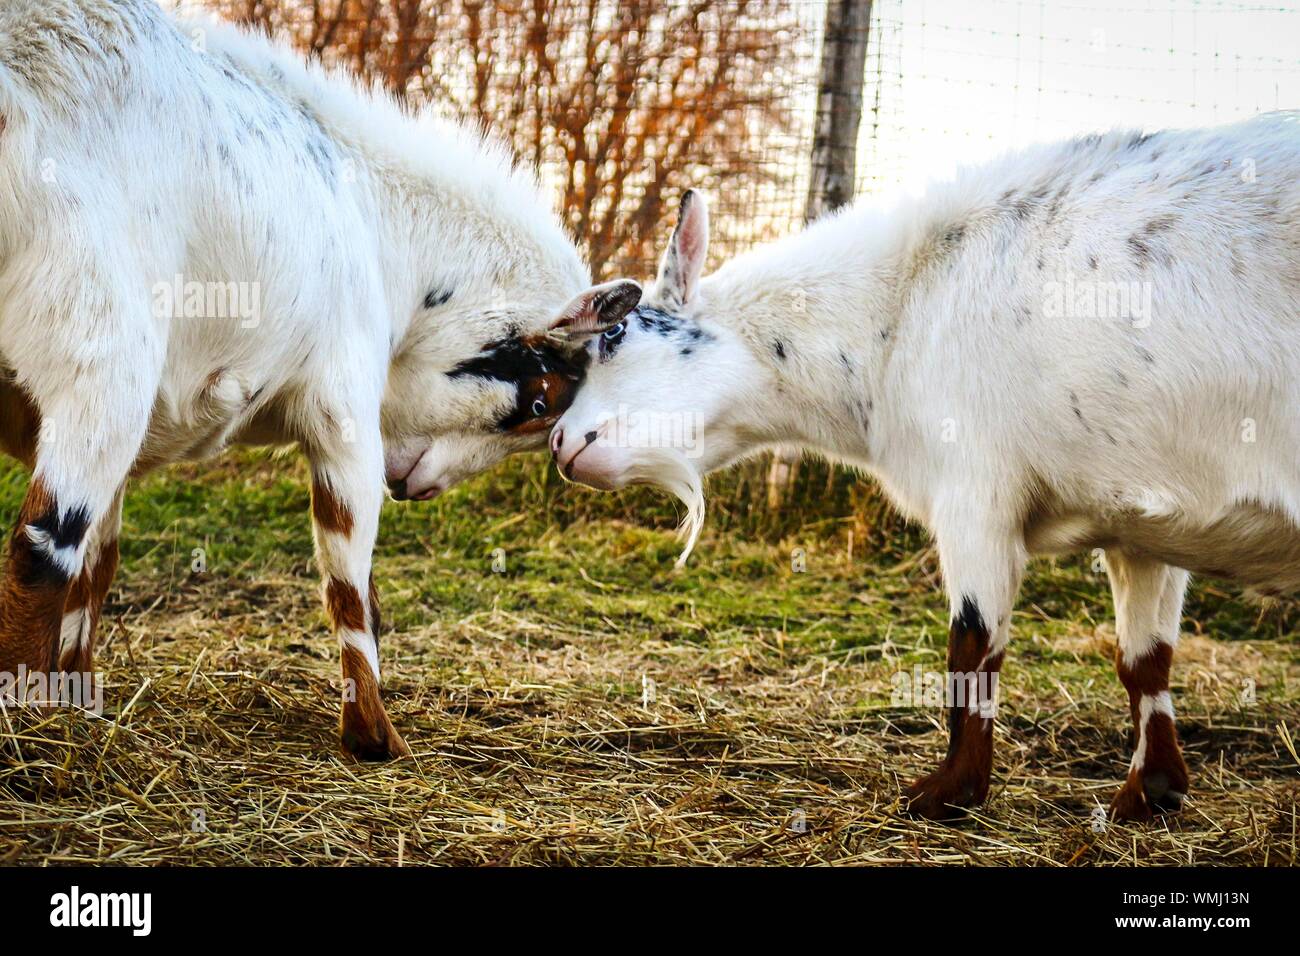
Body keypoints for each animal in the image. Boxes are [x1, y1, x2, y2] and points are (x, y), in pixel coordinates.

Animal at [0, 0, 609, 758]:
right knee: (39, 551)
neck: (376, 215)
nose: (416, 485)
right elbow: (352, 580)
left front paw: (80, 699)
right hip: (102, 361)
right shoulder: (343, 405)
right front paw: (376, 738)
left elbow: (99, 566)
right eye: (537, 400)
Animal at [550, 113, 1300, 819]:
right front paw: (1150, 794)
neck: (901, 305)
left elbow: (973, 643)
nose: (560, 442)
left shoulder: (975, 493)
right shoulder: (1143, 522)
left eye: (614, 336)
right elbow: (1143, 660)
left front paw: (948, 792)